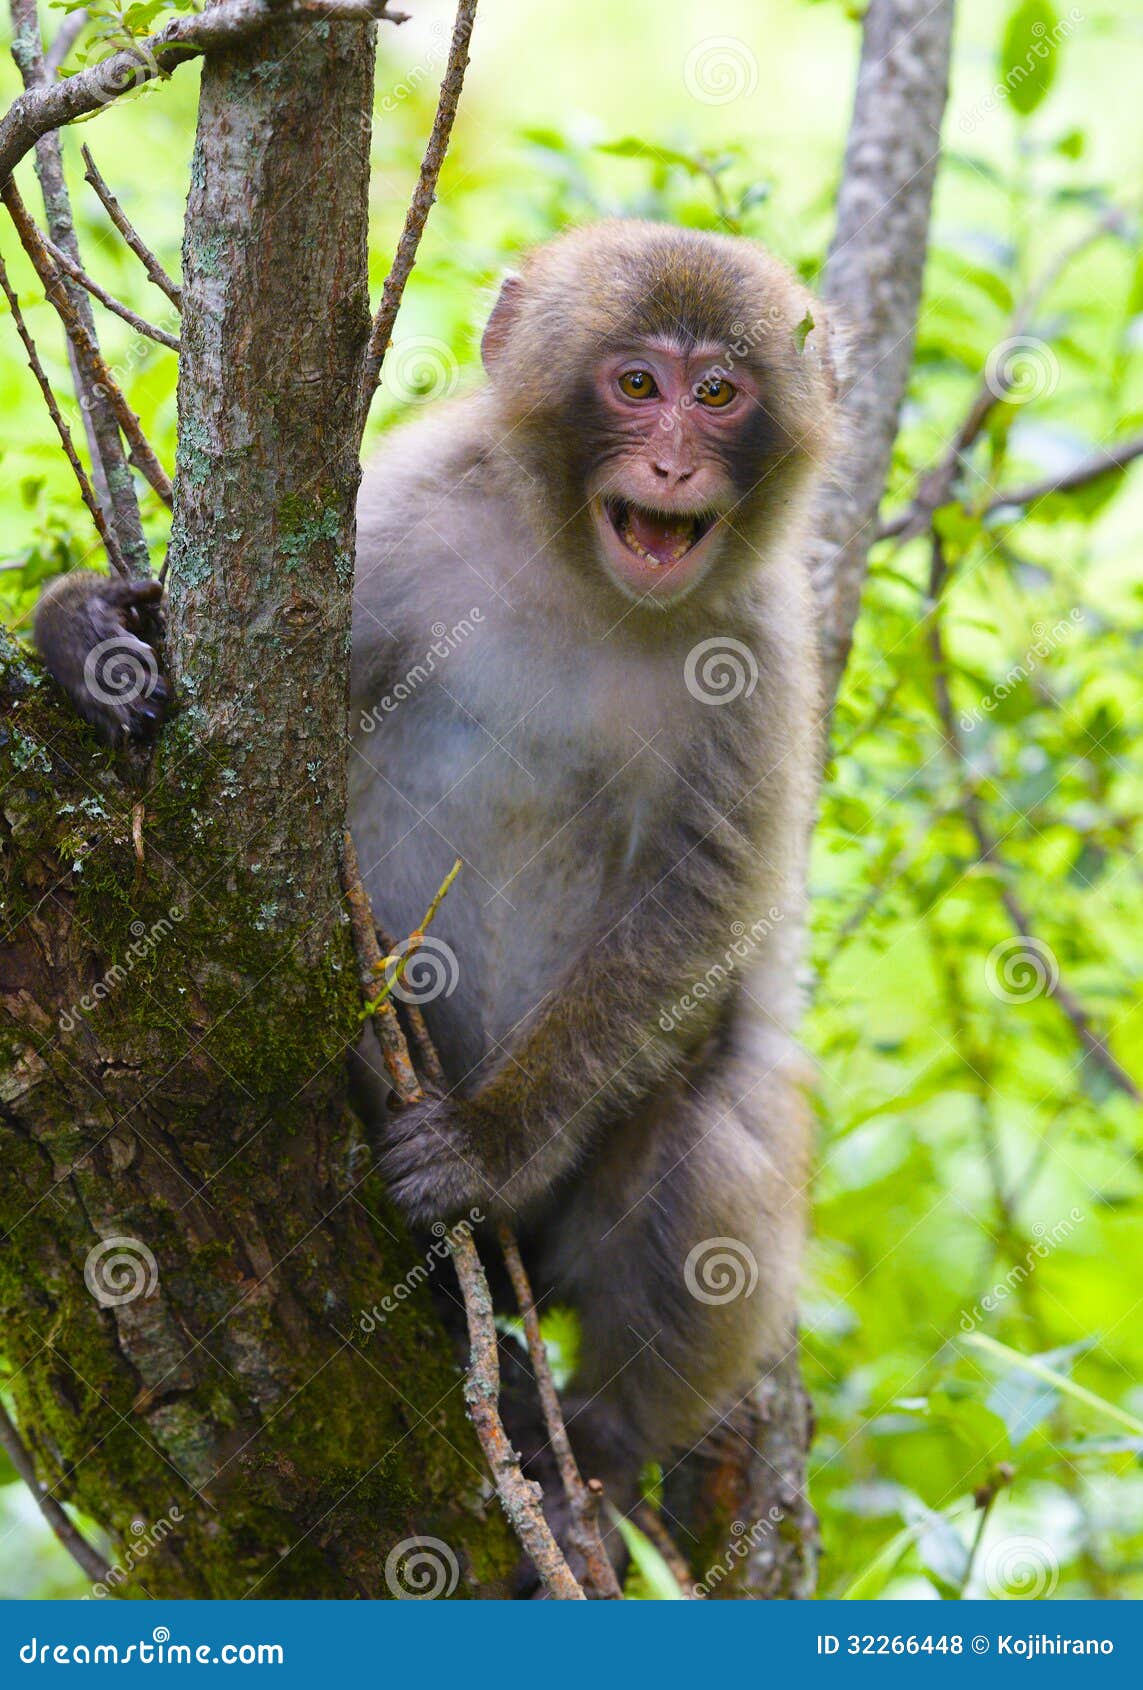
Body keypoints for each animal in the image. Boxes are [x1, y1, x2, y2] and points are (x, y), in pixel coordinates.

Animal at [33, 220, 838, 1584]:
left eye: (721, 392)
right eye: (638, 384)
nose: (675, 460)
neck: (585, 580)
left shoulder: (770, 650)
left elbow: (707, 903)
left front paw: (487, 1146)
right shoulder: (398, 519)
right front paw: (85, 626)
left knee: (716, 1120)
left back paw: (592, 1448)